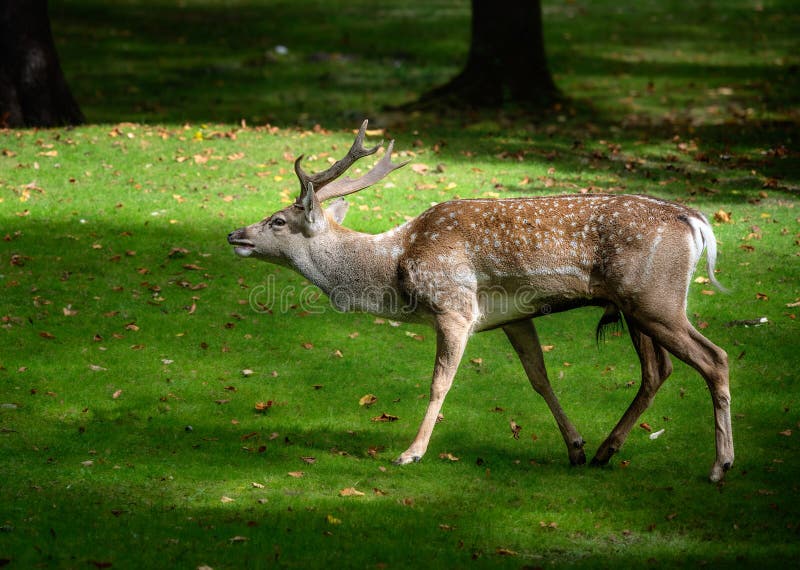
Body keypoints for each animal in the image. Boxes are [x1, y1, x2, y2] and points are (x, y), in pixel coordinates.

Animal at [228, 120, 733, 482]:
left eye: (277, 221)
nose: (235, 234)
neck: (397, 265)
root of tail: (696, 222)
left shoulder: (454, 305)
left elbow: (440, 382)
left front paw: (411, 453)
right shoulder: (513, 316)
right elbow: (539, 378)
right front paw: (575, 446)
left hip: (654, 297)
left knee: (715, 358)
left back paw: (719, 465)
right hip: (635, 307)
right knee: (658, 371)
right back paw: (607, 451)